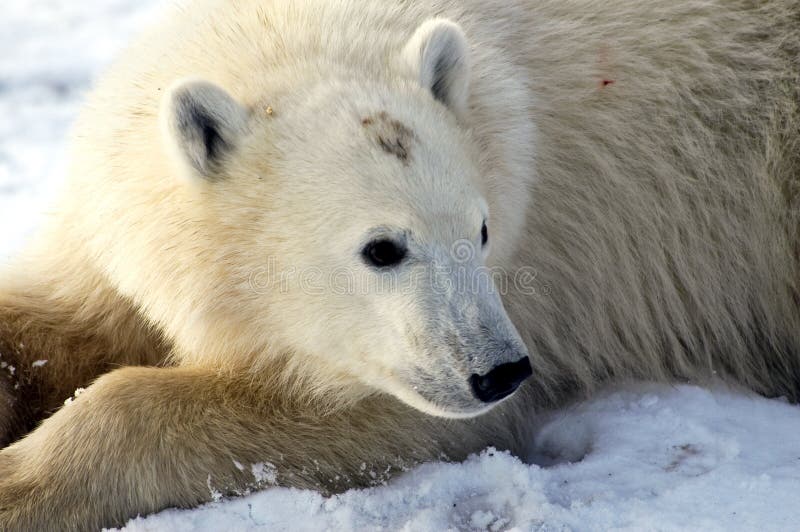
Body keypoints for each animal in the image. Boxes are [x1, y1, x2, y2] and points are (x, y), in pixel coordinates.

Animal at [1, 0, 800, 528]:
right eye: (382, 247)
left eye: (481, 230)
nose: (498, 371)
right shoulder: (112, 234)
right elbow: (63, 315)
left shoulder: (530, 272)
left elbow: (386, 420)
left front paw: (15, 483)